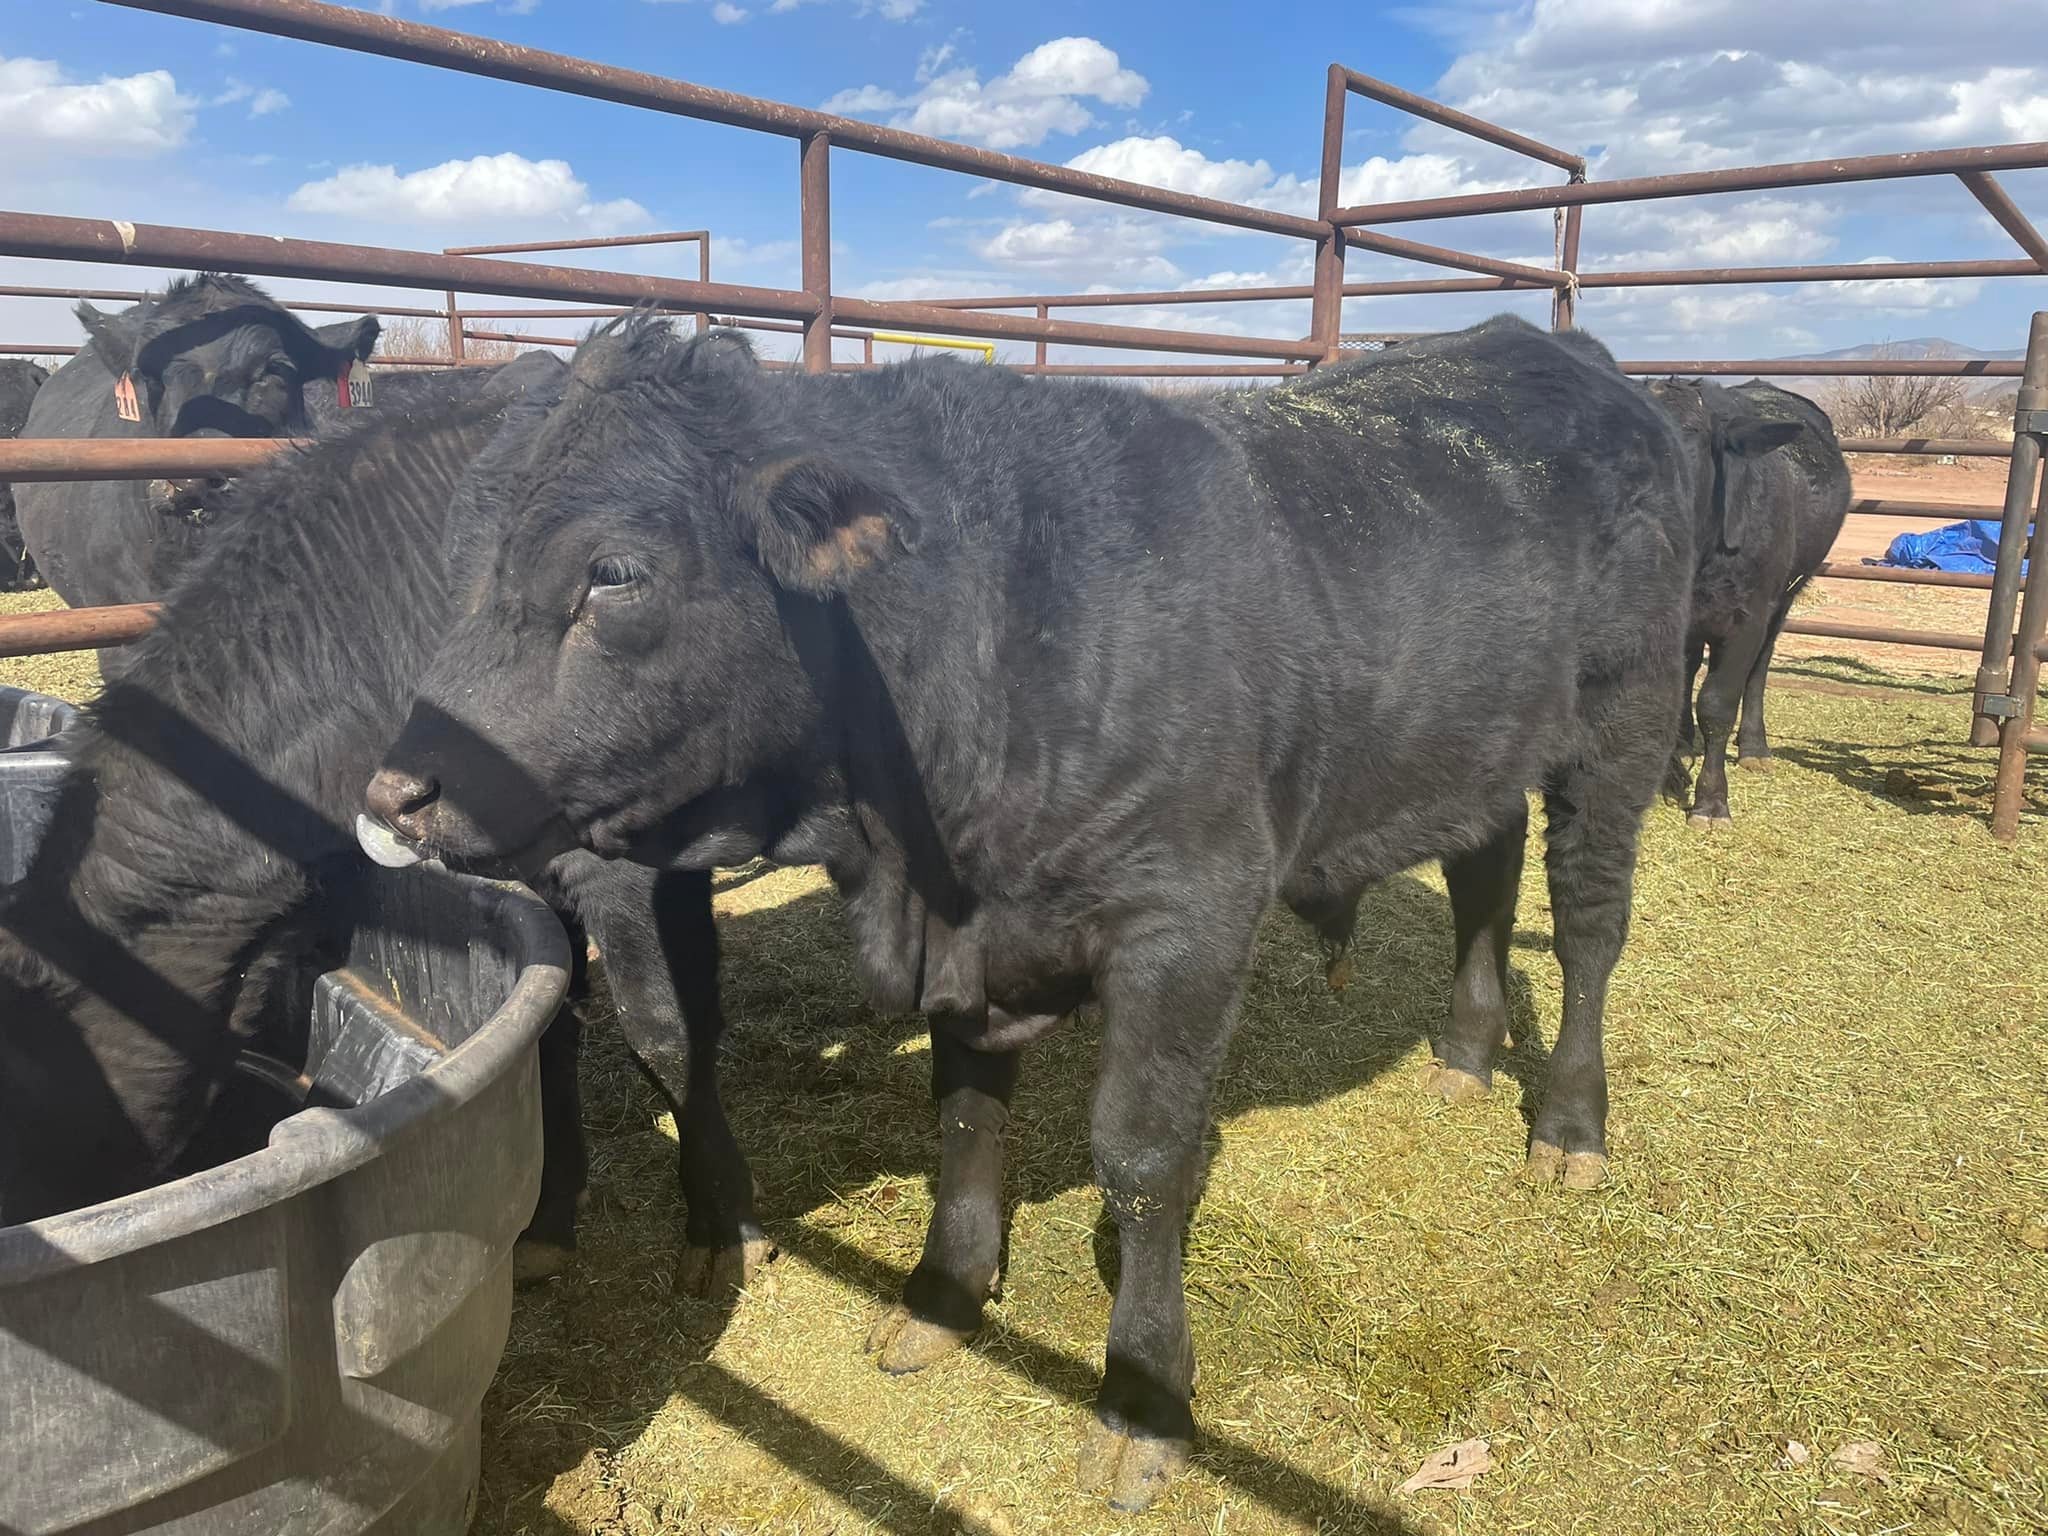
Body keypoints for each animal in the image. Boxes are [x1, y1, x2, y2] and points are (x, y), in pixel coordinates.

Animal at [361, 314, 1696, 1510]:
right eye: (462, 556)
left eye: (613, 571)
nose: (394, 794)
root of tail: (1549, 346)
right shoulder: (974, 938)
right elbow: (961, 1110)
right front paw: (943, 1292)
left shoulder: (1186, 918)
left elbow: (1143, 1157)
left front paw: (1143, 1398)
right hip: (1475, 748)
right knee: (1485, 873)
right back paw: (1465, 1054)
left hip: (1622, 728)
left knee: (1589, 921)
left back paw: (1568, 1124)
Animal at [1649, 378, 1851, 827]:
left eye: (1687, 437)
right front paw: (1670, 775)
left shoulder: (1748, 619)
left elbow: (1717, 704)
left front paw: (1710, 801)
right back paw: (1684, 743)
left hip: (1783, 599)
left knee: (1759, 668)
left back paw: (1754, 748)